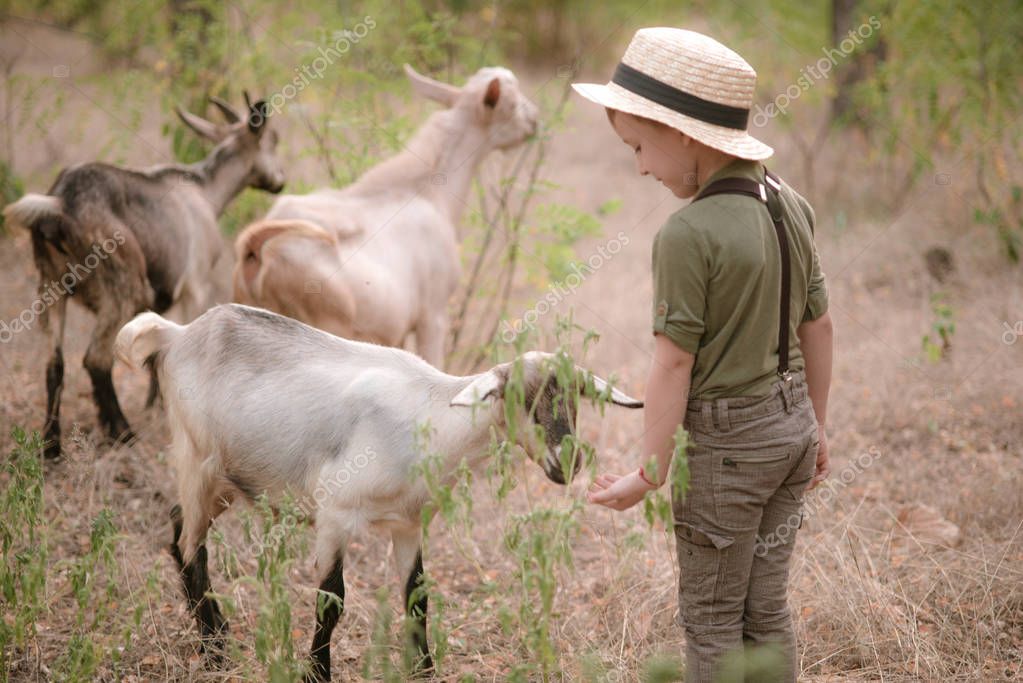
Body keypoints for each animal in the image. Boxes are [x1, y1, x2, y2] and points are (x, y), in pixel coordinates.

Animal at [3, 95, 285, 459]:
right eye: (273, 140)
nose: (280, 180)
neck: (205, 191)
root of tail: (60, 204)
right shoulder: (195, 287)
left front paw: (155, 406)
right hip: (121, 286)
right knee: (96, 359)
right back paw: (123, 434)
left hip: (50, 286)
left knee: (55, 363)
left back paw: (52, 446)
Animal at [115, 303, 641, 681]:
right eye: (518, 399)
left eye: (575, 399)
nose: (567, 463)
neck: (430, 417)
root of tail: (178, 333)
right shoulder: (334, 515)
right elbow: (331, 601)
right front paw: (317, 674)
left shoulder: (408, 523)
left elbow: (417, 595)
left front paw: (424, 670)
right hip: (197, 461)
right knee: (191, 546)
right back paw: (215, 652)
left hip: (225, 481)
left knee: (177, 527)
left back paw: (217, 638)